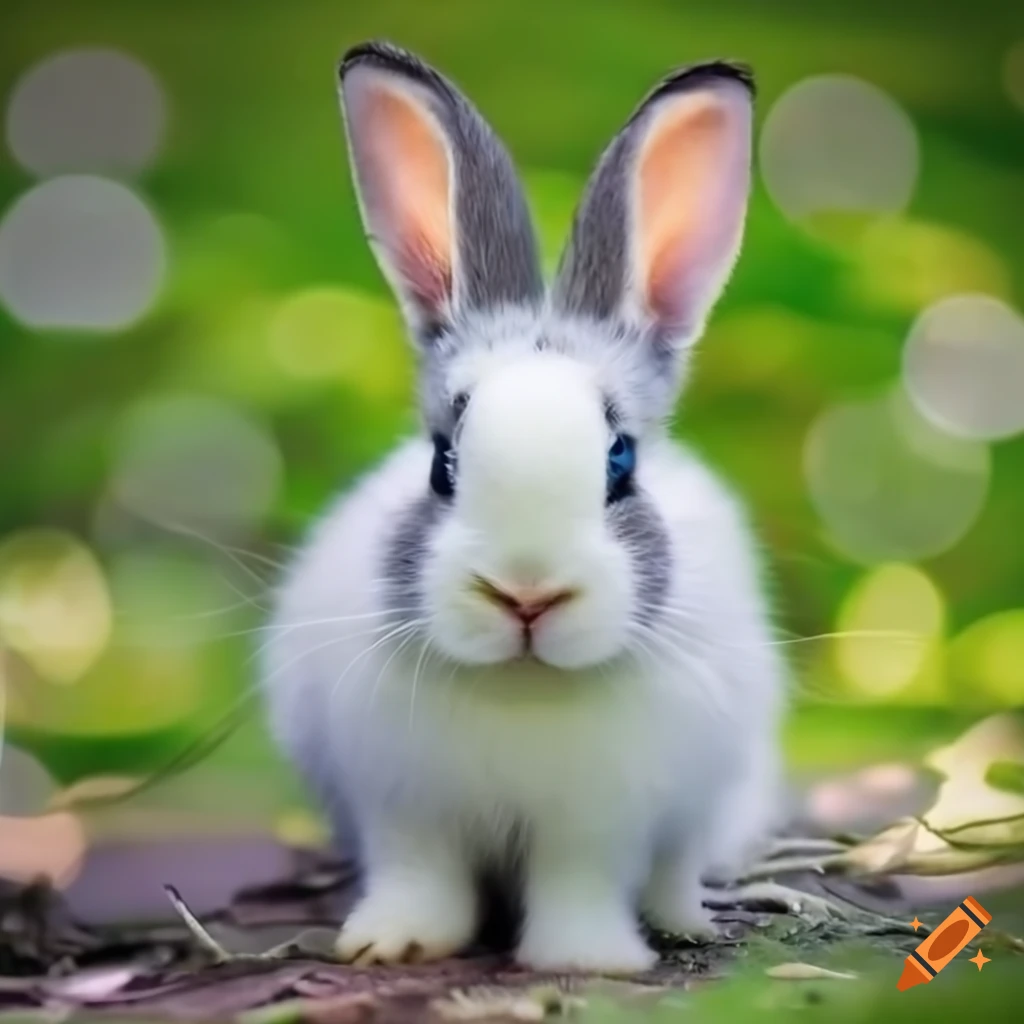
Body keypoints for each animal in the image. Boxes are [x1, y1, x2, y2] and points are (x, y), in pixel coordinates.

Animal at [261, 40, 785, 974]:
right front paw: (392, 943)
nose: (526, 594)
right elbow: (420, 878)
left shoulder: (600, 825)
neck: (523, 685)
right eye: (444, 463)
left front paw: (587, 959)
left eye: (620, 462)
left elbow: (581, 884)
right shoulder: (404, 809)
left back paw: (686, 920)